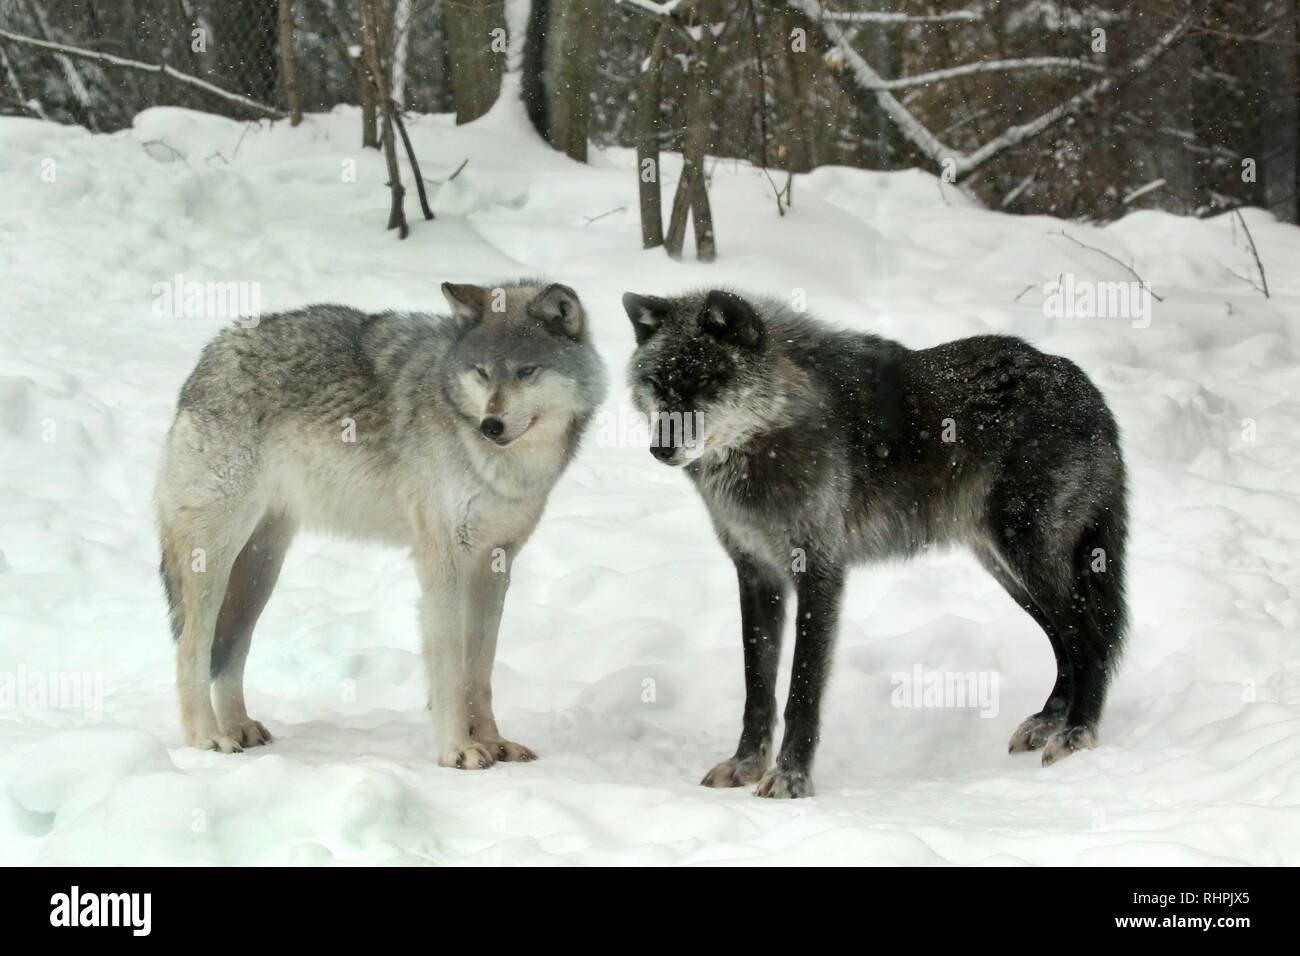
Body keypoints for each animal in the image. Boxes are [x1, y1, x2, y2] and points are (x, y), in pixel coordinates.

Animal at [156, 280, 606, 767]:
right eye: (482, 373)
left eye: (527, 371)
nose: (491, 424)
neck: (500, 465)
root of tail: (213, 352)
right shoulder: (442, 562)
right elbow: (451, 671)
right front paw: (458, 751)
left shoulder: (495, 563)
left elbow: (480, 670)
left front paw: (492, 742)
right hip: (215, 560)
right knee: (191, 648)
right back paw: (208, 738)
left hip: (261, 570)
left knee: (231, 650)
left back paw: (239, 727)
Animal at [622, 289, 1127, 798]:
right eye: (658, 382)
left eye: (707, 380)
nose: (660, 449)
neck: (771, 434)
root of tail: (1086, 387)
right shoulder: (755, 572)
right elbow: (757, 687)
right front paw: (744, 764)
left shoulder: (820, 572)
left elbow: (802, 690)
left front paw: (790, 777)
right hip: (1005, 568)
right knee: (1065, 641)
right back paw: (1048, 721)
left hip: (1029, 558)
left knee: (1091, 638)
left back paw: (1076, 734)